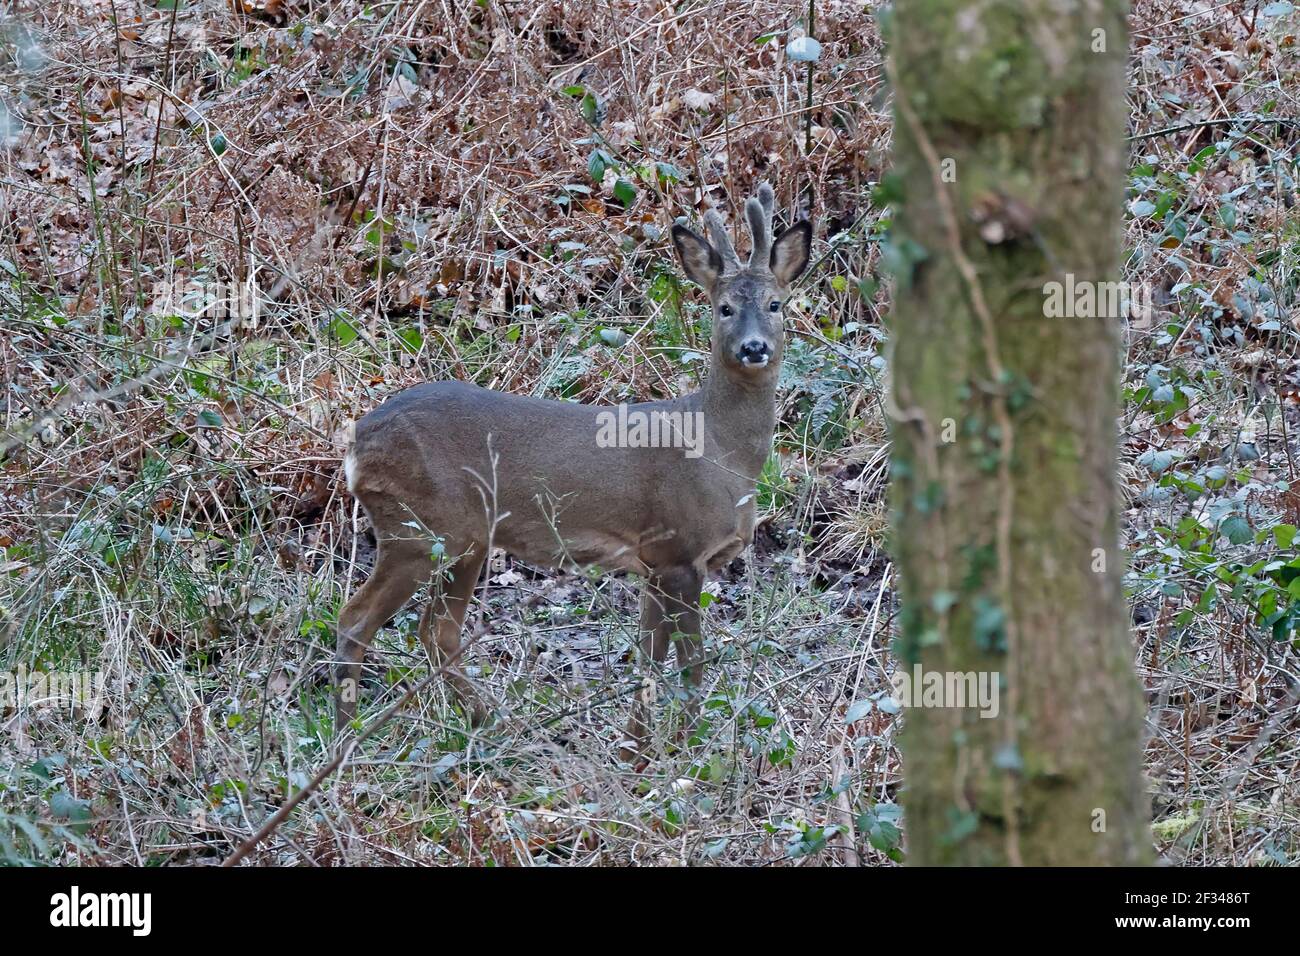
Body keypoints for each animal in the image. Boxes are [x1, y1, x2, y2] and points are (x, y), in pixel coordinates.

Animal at [334, 182, 811, 757]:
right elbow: (689, 664)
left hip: (463, 539)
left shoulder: (652, 561)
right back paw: (349, 740)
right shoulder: (678, 549)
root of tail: (358, 444)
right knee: (357, 620)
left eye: (775, 303)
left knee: (436, 630)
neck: (723, 453)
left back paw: (489, 725)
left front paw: (635, 748)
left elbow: (650, 656)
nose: (754, 347)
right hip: (422, 526)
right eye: (723, 308)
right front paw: (687, 745)